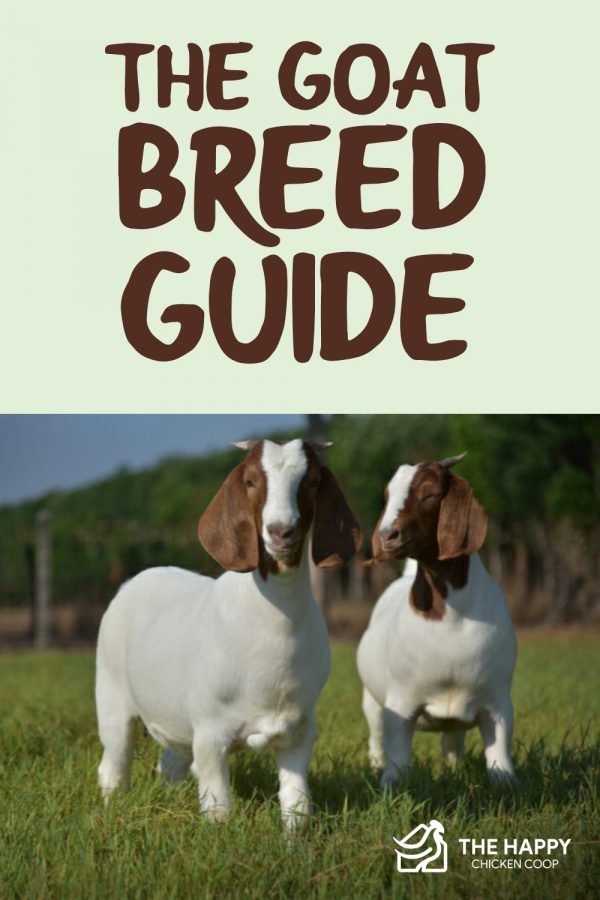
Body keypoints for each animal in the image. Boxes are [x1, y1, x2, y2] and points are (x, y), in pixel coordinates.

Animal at [96, 439, 361, 831]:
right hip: (111, 695)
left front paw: (295, 840)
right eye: (250, 481)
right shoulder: (210, 731)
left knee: (171, 761)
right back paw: (113, 806)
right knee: (114, 761)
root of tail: (136, 580)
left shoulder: (299, 730)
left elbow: (297, 804)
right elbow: (219, 808)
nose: (281, 531)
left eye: (312, 482)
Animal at [357, 453, 517, 786]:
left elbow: (499, 750)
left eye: (430, 494)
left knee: (452, 739)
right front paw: (389, 786)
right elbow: (397, 755)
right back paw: (376, 766)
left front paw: (507, 785)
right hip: (371, 698)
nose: (387, 535)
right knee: (376, 735)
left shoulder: (497, 699)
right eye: (387, 495)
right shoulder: (400, 702)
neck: (451, 616)